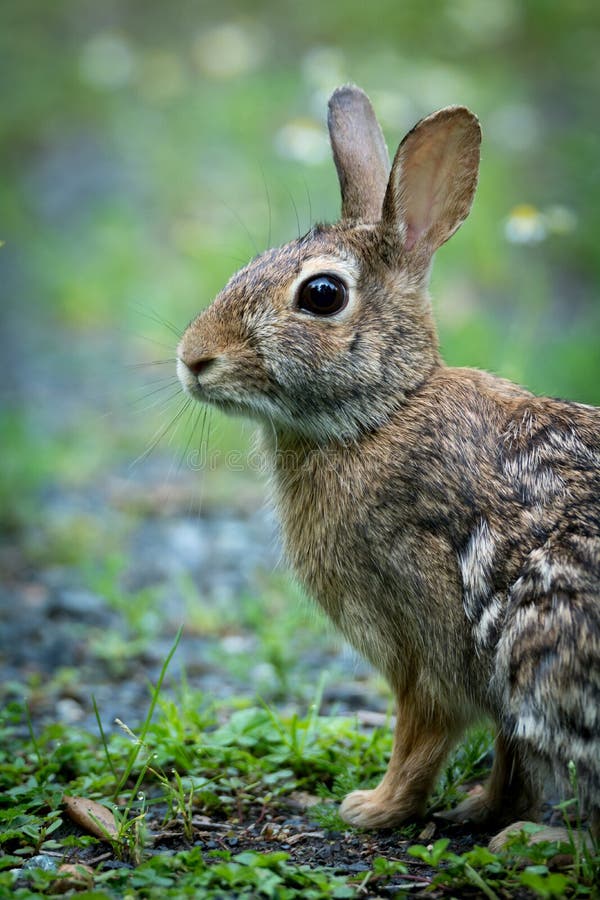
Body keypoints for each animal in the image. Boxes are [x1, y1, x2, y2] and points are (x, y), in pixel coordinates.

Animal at [176, 84, 600, 838]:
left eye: (322, 295)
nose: (192, 357)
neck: (382, 413)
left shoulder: (428, 640)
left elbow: (422, 733)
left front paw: (371, 810)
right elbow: (508, 761)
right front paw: (478, 808)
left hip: (543, 644)